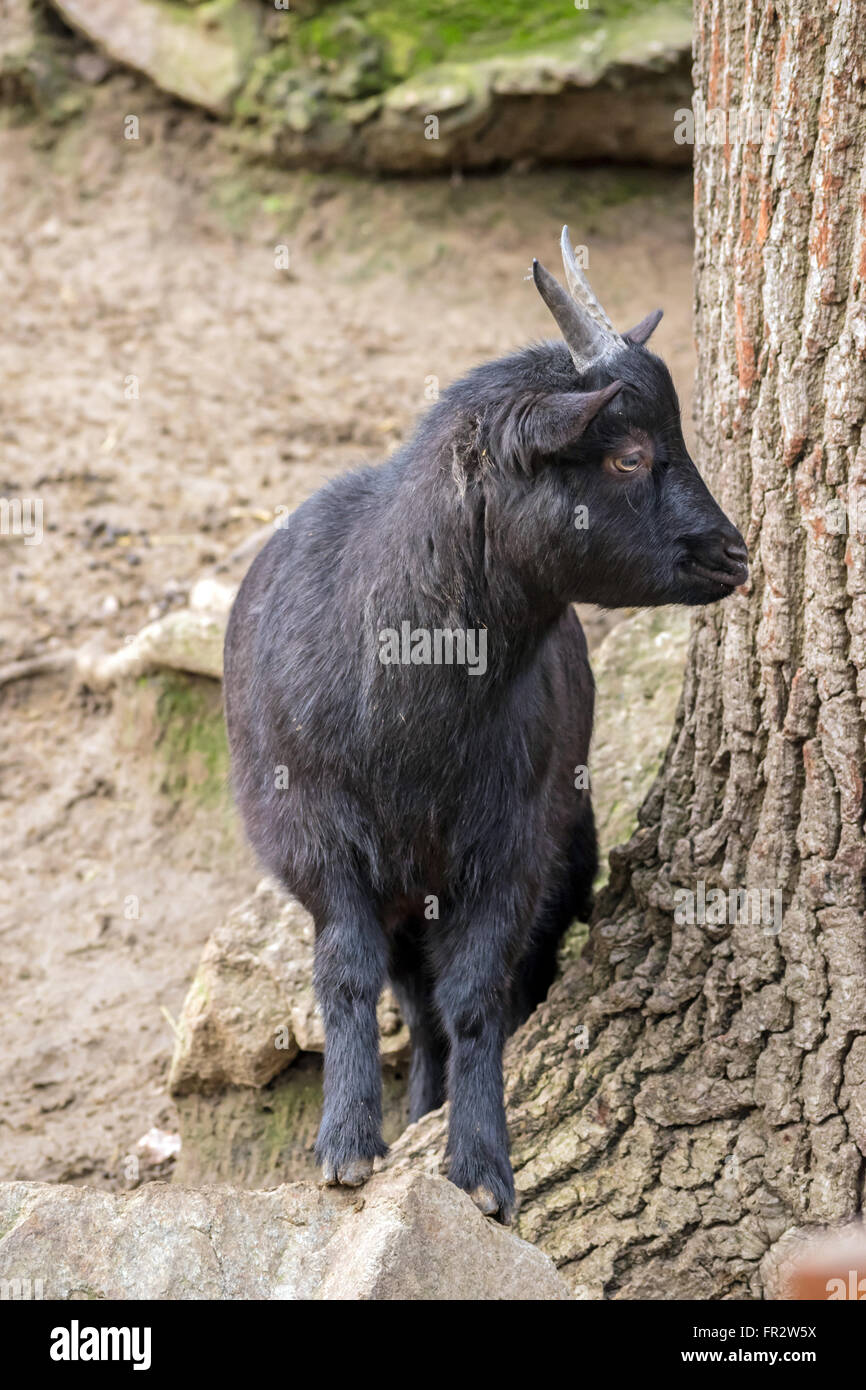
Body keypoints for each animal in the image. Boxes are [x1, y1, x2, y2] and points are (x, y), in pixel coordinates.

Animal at [223, 228, 749, 1222]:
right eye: (627, 456)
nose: (733, 553)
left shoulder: (514, 842)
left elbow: (478, 999)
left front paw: (480, 1166)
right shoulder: (315, 838)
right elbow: (345, 977)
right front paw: (346, 1144)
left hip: (560, 846)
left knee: (476, 994)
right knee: (411, 1001)